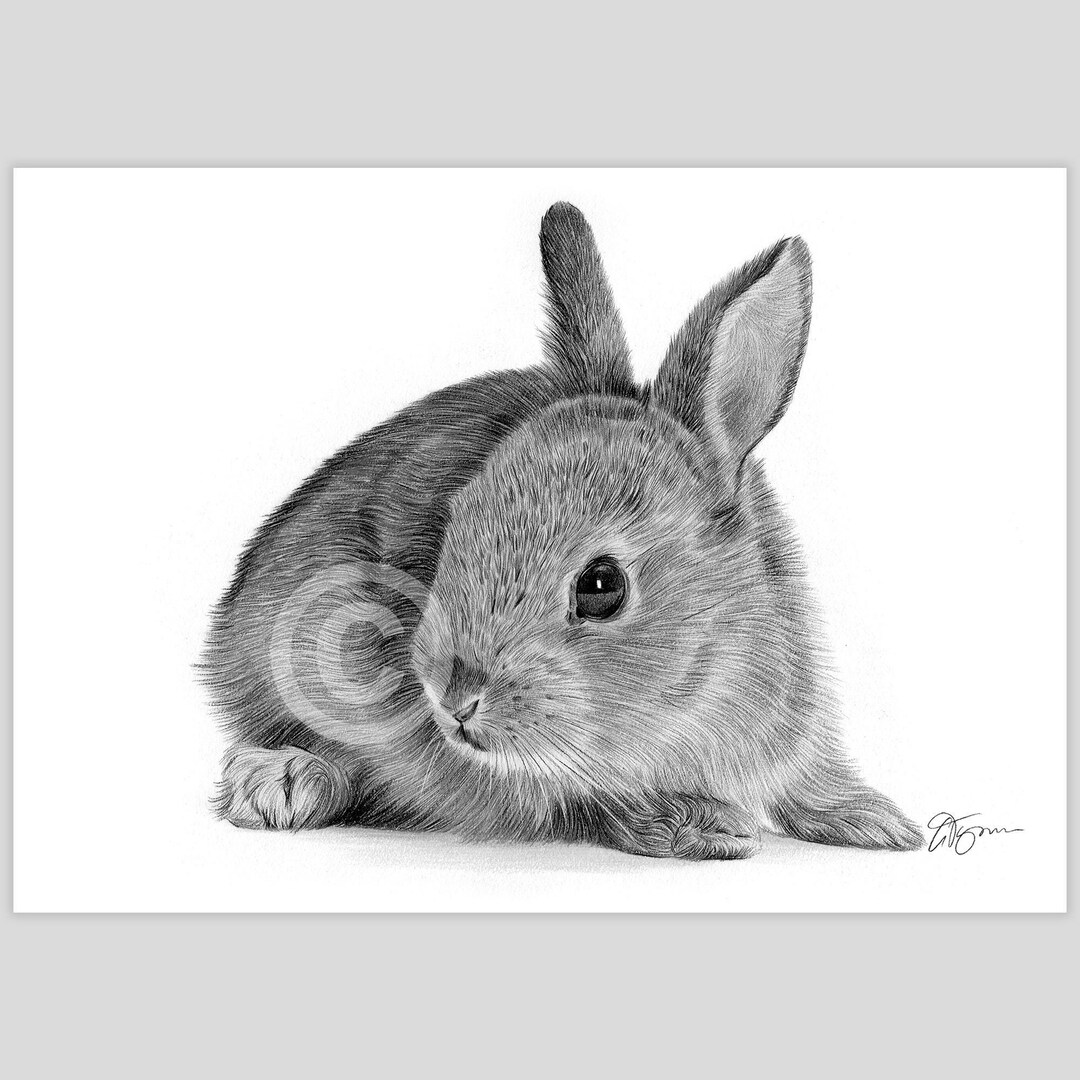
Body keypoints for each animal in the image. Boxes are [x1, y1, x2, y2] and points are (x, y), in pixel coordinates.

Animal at [203, 202, 923, 860]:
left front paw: (879, 823)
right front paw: (699, 824)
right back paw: (282, 782)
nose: (451, 697)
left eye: (602, 586)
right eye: (456, 522)